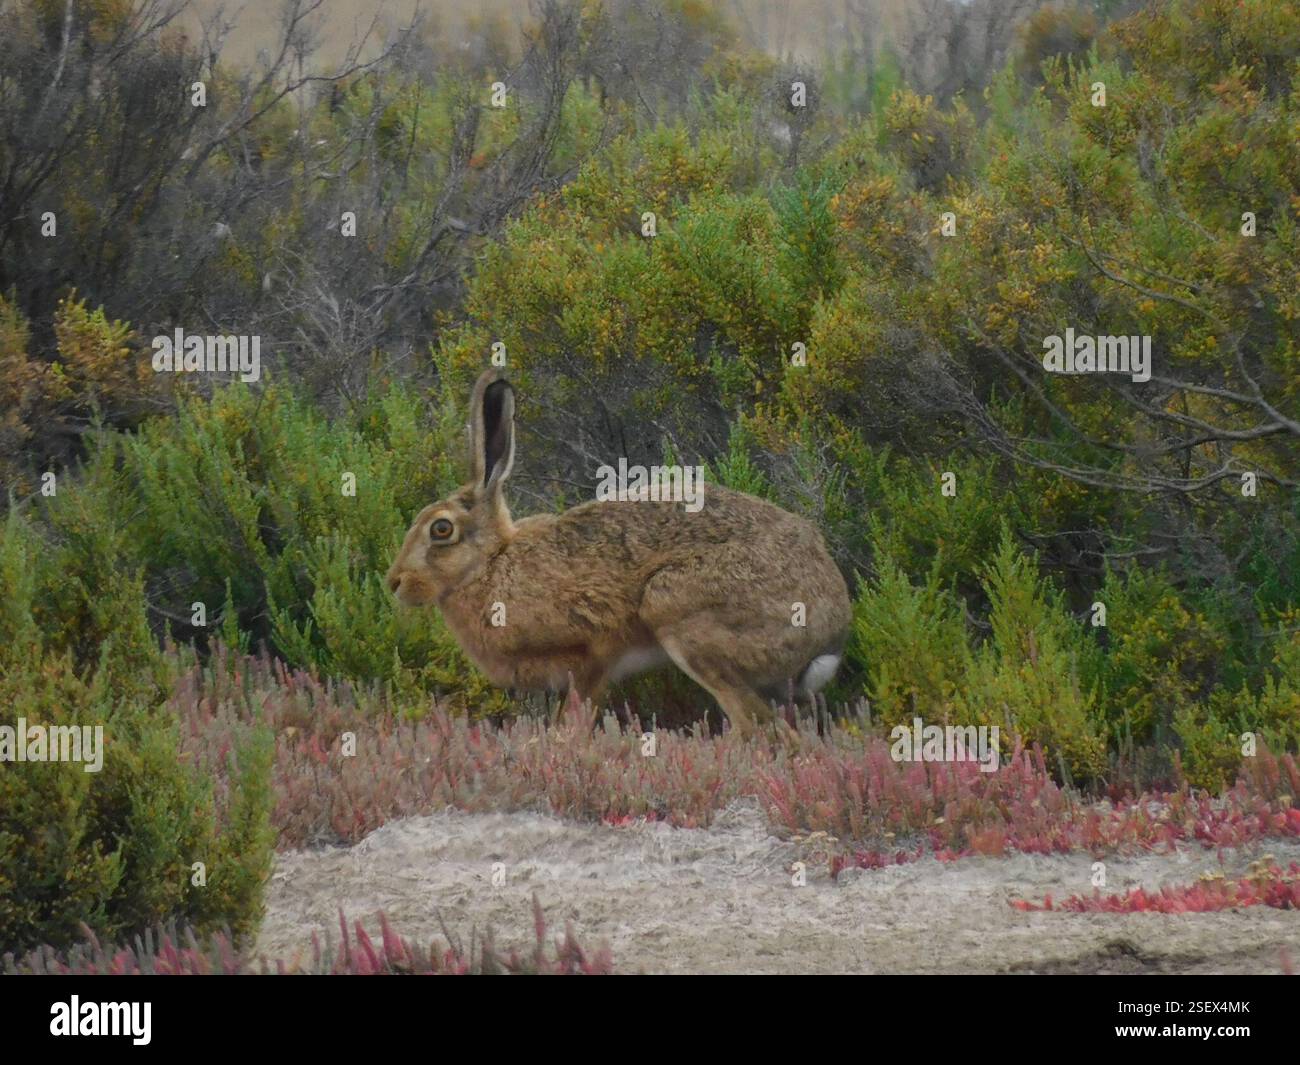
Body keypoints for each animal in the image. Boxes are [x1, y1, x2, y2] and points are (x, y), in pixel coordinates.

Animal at [386, 369, 852, 741]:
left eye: (441, 529)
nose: (395, 583)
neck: (492, 565)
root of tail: (831, 626)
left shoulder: (591, 651)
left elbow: (575, 717)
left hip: (678, 611)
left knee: (760, 729)